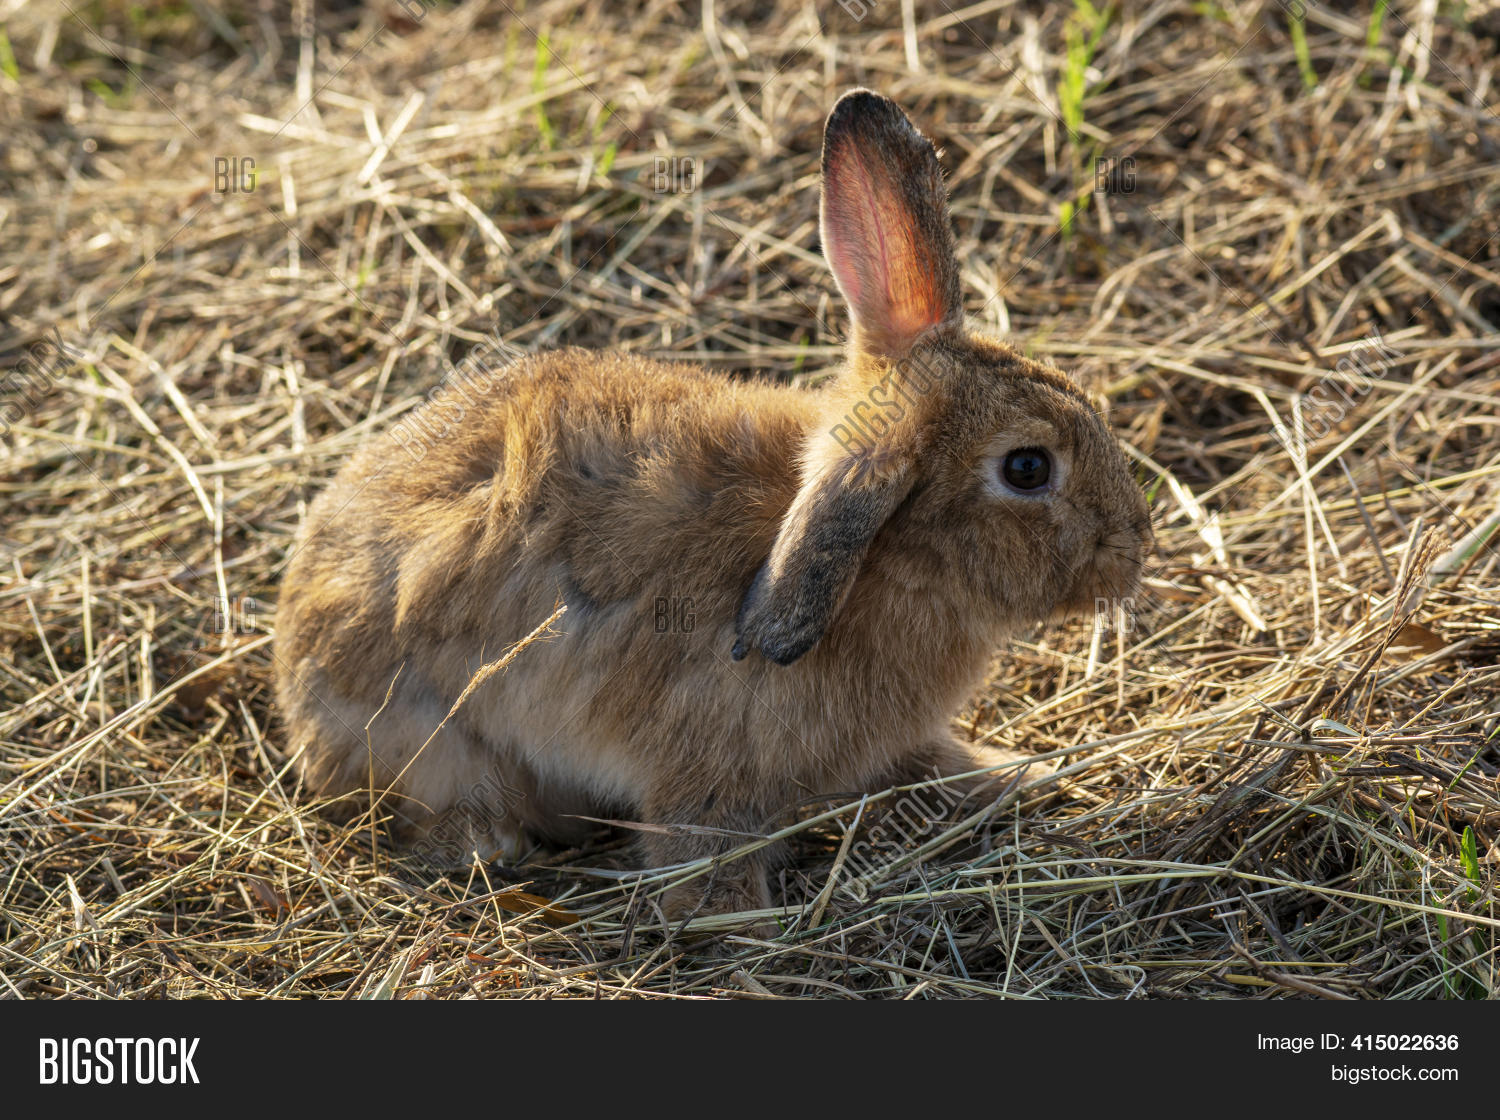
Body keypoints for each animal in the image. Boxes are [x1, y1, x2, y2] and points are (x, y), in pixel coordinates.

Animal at [273, 88, 1153, 930]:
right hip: (432, 741)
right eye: (1028, 468)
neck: (878, 559)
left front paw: (1012, 777)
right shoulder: (704, 774)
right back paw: (489, 843)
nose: (1135, 548)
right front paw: (735, 926)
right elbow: (700, 854)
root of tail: (293, 657)